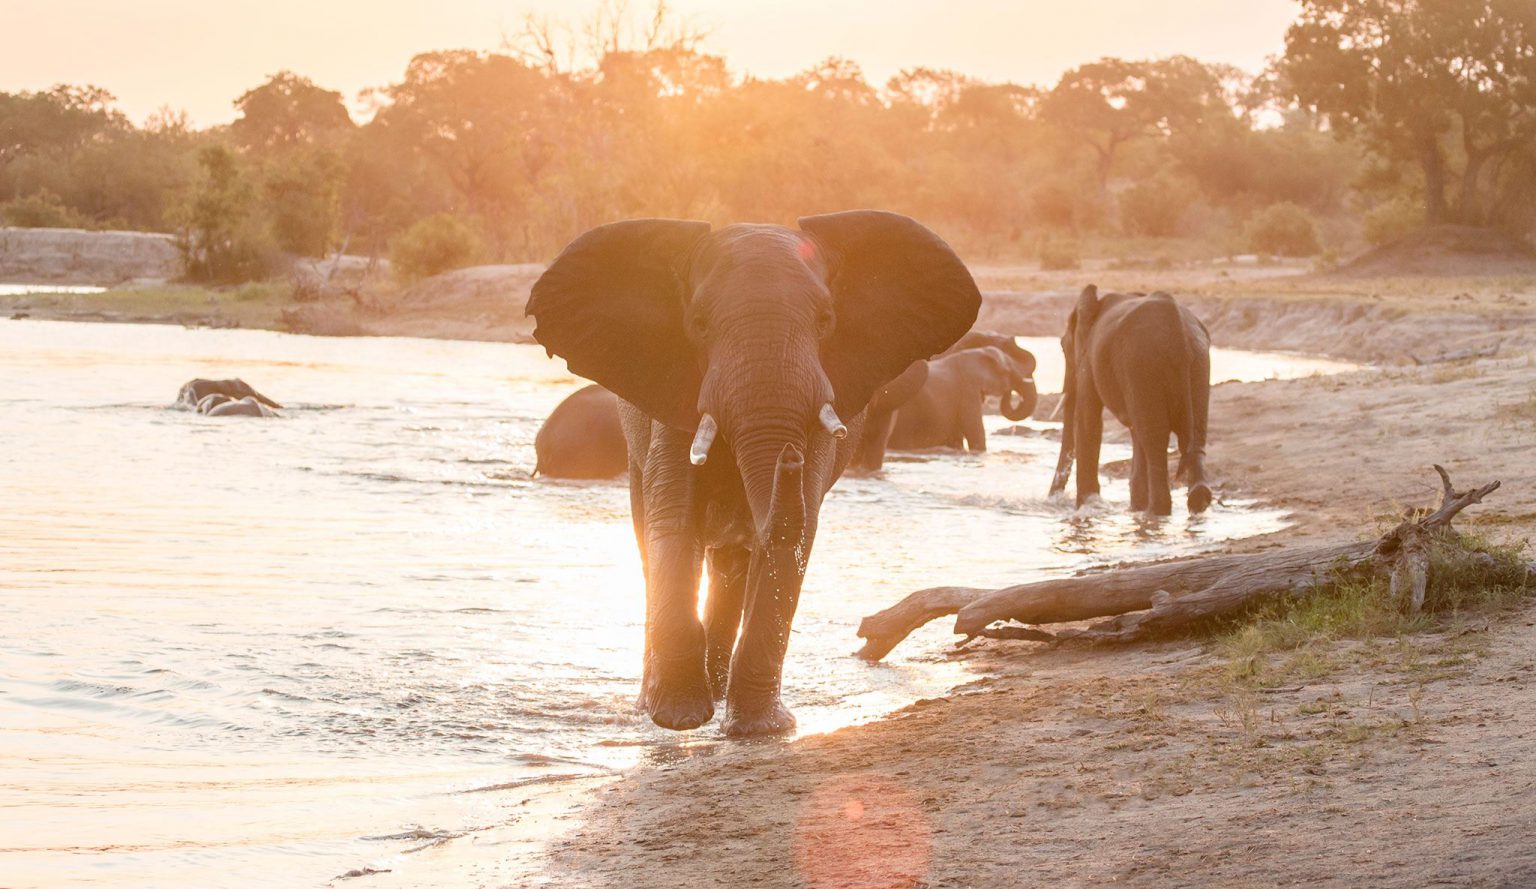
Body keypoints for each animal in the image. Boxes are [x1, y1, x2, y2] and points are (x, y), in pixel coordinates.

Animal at [526, 211, 980, 737]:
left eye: (826, 321)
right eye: (698, 324)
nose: (788, 459)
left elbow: (798, 527)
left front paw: (760, 729)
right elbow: (675, 516)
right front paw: (680, 721)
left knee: (733, 561)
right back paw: (656, 704)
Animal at [1048, 285, 1212, 516]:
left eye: (1063, 347)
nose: (1054, 500)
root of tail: (1177, 327)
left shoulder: (1089, 359)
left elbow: (1088, 421)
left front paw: (1087, 506)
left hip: (1142, 363)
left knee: (1153, 439)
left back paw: (1155, 511)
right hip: (1198, 363)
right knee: (1192, 436)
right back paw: (1196, 501)